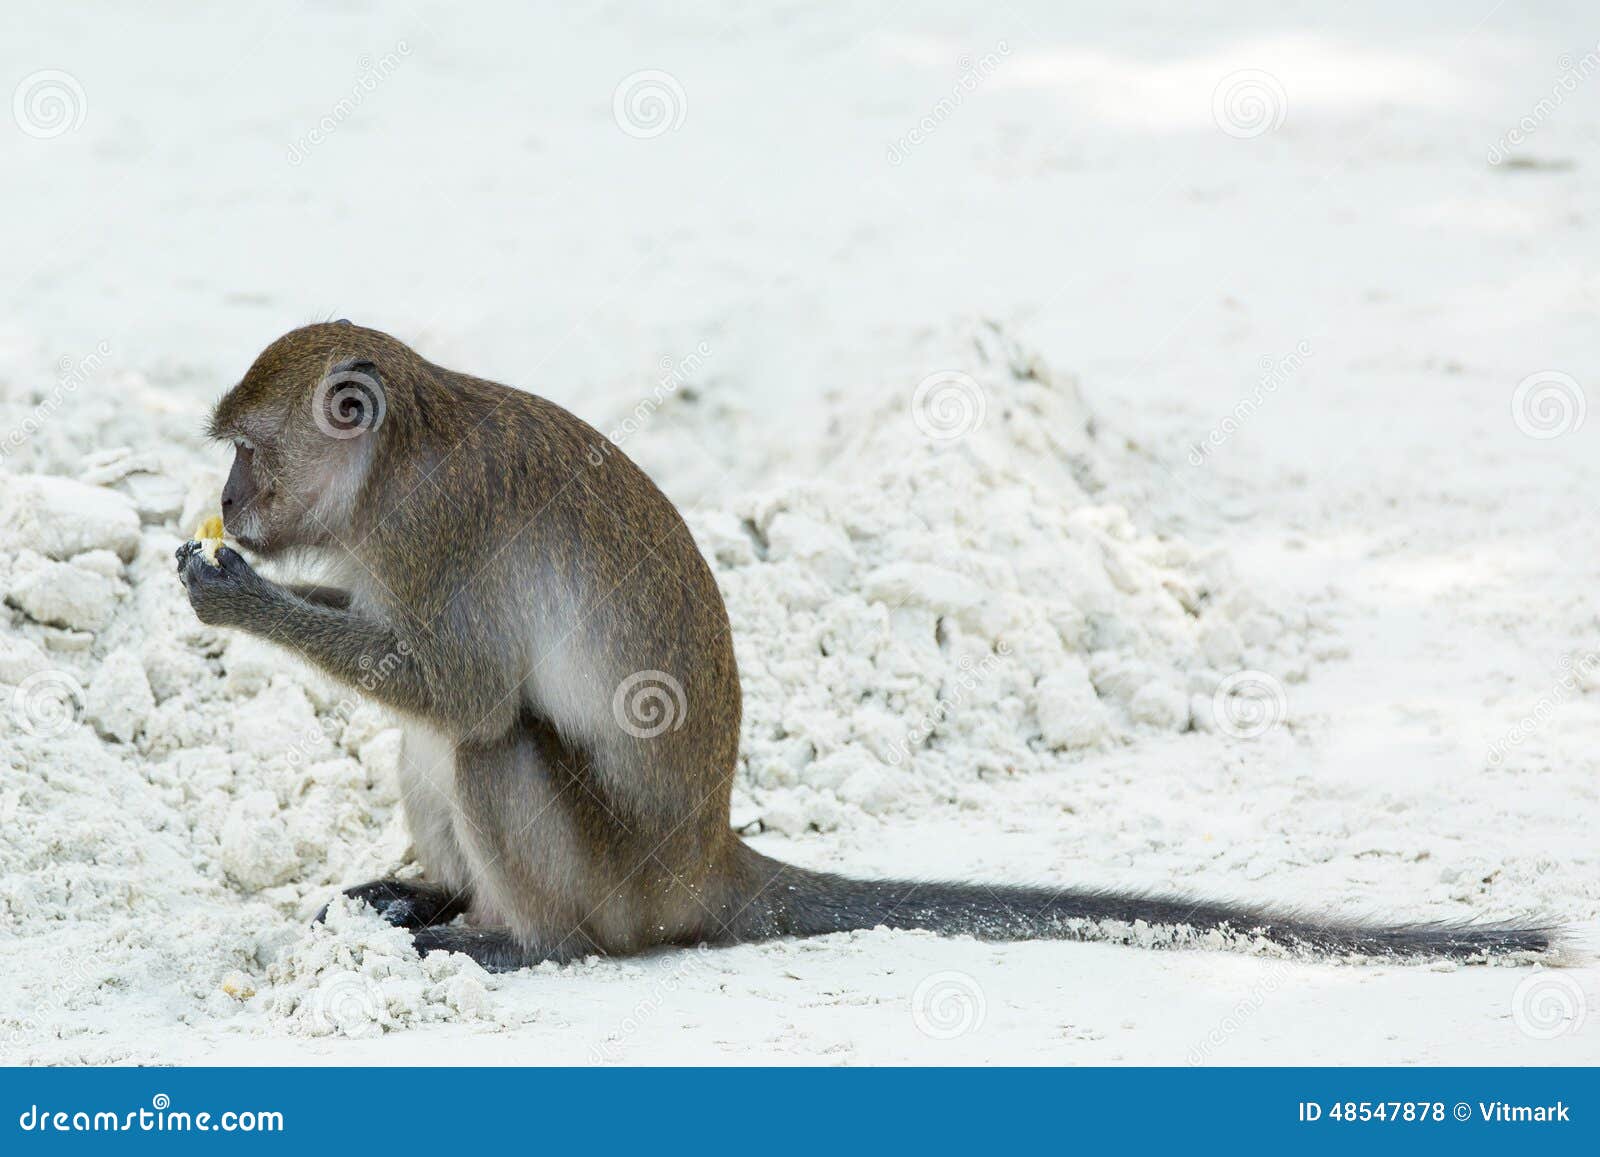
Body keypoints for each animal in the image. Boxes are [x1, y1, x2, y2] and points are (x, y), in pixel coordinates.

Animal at [176, 322, 1557, 972]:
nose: (229, 502)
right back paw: (434, 894)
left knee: (487, 741)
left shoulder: (434, 529)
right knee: (430, 739)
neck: (390, 458)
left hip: (609, 878)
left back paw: (518, 940)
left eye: (248, 449)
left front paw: (238, 600)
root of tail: (705, 860)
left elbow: (462, 689)